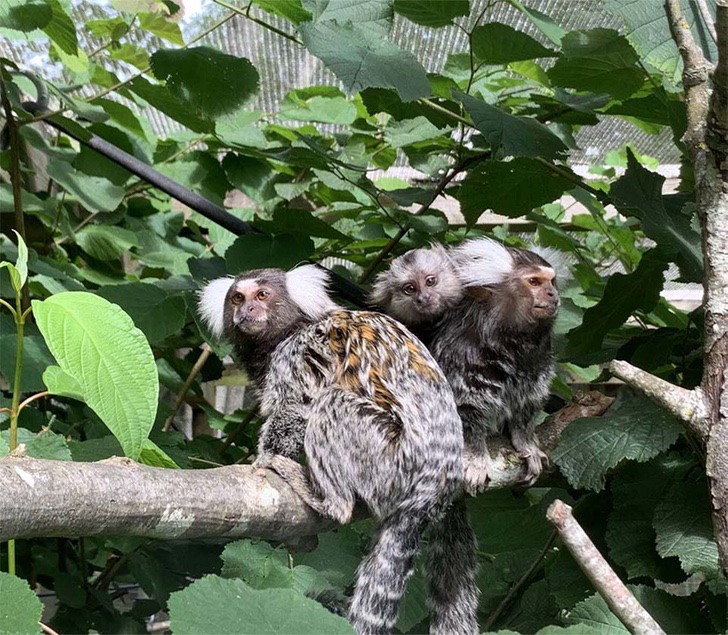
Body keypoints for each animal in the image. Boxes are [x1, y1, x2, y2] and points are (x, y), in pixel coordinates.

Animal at [198, 265, 476, 635]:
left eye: (262, 295)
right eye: (237, 298)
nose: (248, 311)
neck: (289, 330)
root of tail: (433, 491)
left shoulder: (297, 353)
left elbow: (298, 408)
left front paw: (266, 459)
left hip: (390, 461)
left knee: (332, 402)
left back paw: (330, 502)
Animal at [430, 237, 560, 491]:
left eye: (551, 281)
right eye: (534, 282)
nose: (552, 294)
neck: (509, 343)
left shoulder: (538, 360)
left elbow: (526, 404)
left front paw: (526, 442)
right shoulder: (461, 353)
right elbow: (463, 407)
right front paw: (475, 457)